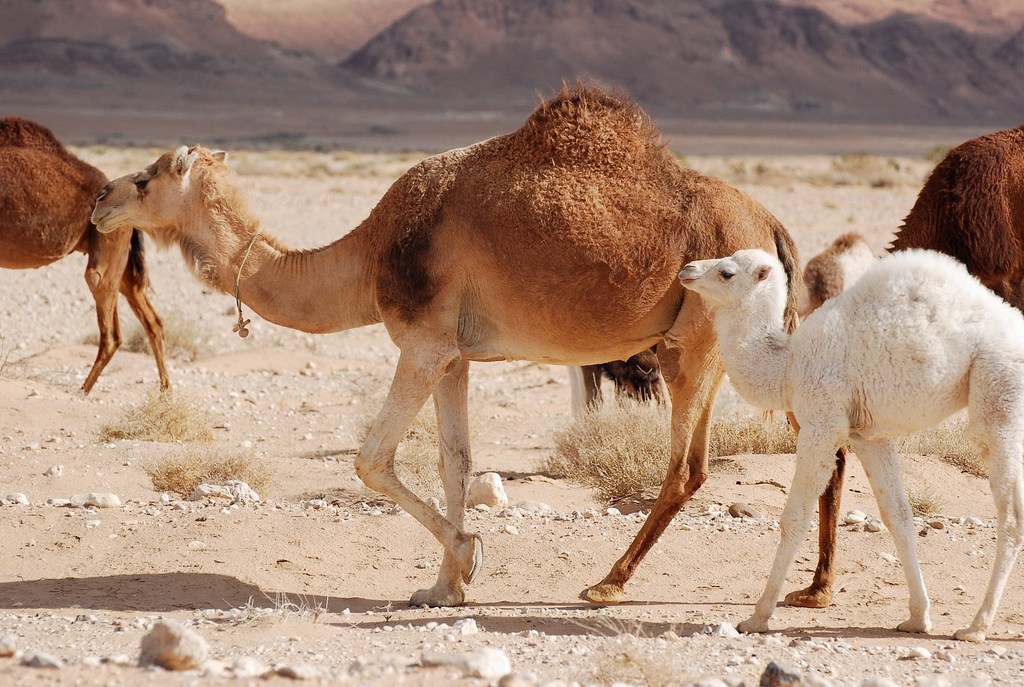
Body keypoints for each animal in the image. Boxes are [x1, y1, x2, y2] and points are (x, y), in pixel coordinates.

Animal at [0, 117, 169, 394]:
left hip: (107, 249)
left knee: (111, 333)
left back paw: (82, 392)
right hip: (119, 261)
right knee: (152, 320)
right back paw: (166, 391)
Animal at [90, 84, 844, 608]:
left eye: (146, 177)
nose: (100, 200)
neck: (369, 255)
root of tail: (771, 222)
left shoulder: (422, 343)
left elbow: (371, 460)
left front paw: (470, 555)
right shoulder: (454, 356)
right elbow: (456, 462)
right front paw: (442, 587)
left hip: (698, 339)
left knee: (688, 467)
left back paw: (607, 582)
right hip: (751, 339)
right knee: (823, 448)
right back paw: (815, 589)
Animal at [680, 247, 1024, 642]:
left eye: (727, 272)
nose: (687, 270)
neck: (787, 365)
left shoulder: (822, 423)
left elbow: (794, 518)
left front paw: (758, 617)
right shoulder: (869, 435)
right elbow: (898, 516)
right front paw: (917, 618)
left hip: (998, 392)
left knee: (1010, 515)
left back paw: (976, 626)